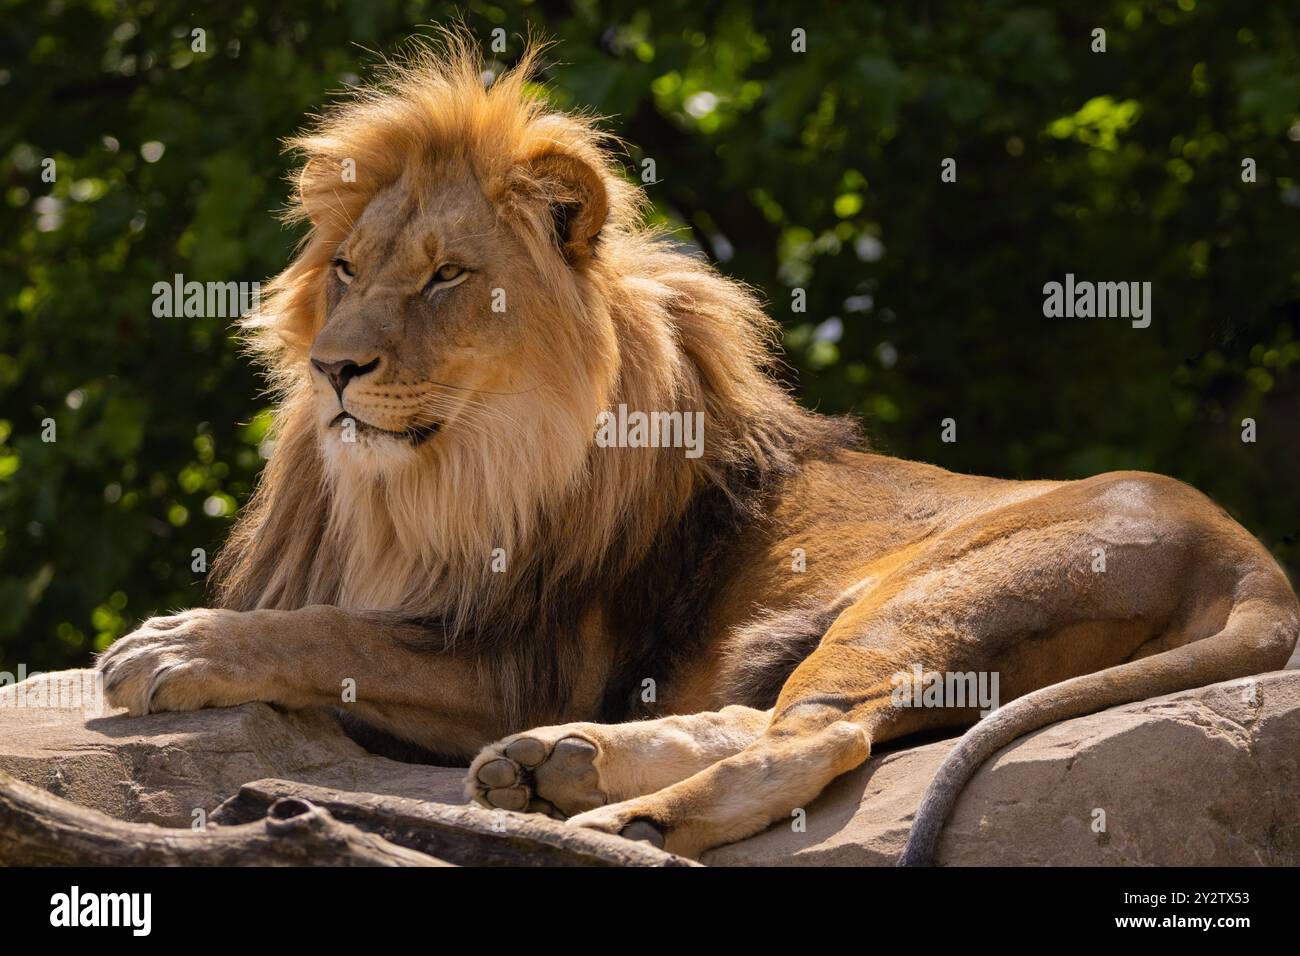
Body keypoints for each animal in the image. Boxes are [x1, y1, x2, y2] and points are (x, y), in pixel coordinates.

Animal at [96, 34, 1299, 863]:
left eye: (445, 277)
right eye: (345, 268)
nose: (333, 368)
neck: (435, 483)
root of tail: (1254, 563)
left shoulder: (522, 658)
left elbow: (331, 627)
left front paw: (175, 643)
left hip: (935, 592)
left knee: (816, 740)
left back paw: (618, 819)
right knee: (786, 713)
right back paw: (558, 767)